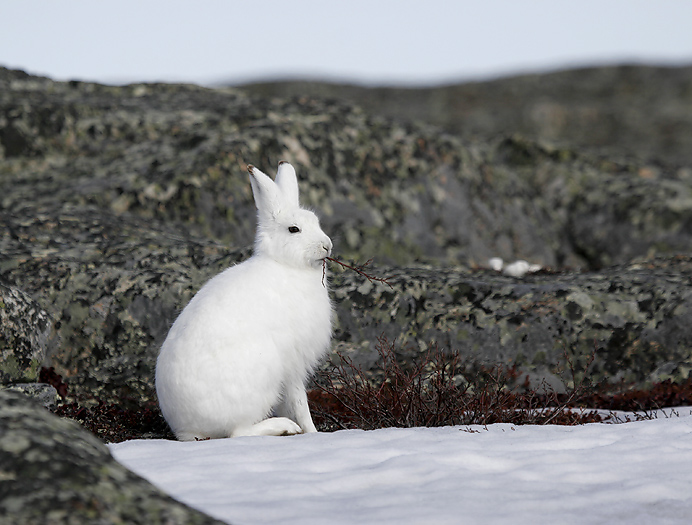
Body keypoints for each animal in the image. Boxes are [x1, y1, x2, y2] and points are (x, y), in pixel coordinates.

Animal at [155, 161, 334, 440]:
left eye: (316, 222)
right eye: (294, 229)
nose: (327, 246)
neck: (285, 265)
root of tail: (186, 431)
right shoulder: (293, 361)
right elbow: (299, 401)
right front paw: (312, 432)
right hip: (262, 374)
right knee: (238, 433)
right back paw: (283, 426)